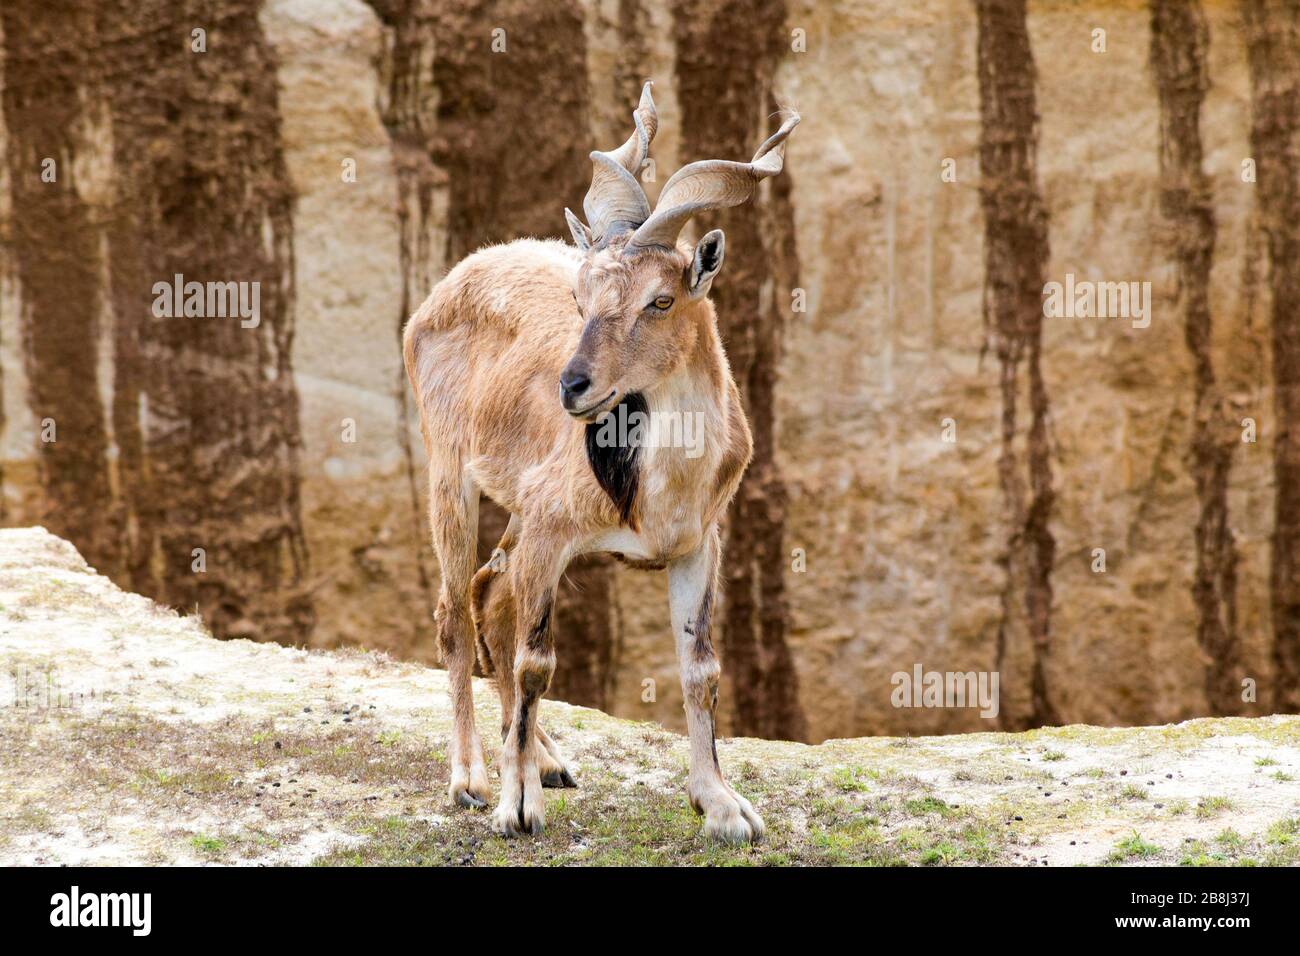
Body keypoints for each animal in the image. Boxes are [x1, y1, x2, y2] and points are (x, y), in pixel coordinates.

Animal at [403, 82, 798, 843]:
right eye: (579, 299)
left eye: (660, 299)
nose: (573, 386)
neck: (652, 488)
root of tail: (452, 279)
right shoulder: (552, 531)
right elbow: (536, 661)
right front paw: (516, 806)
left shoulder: (696, 544)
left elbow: (701, 668)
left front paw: (723, 806)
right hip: (448, 474)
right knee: (454, 611)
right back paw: (472, 776)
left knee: (491, 597)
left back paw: (545, 757)